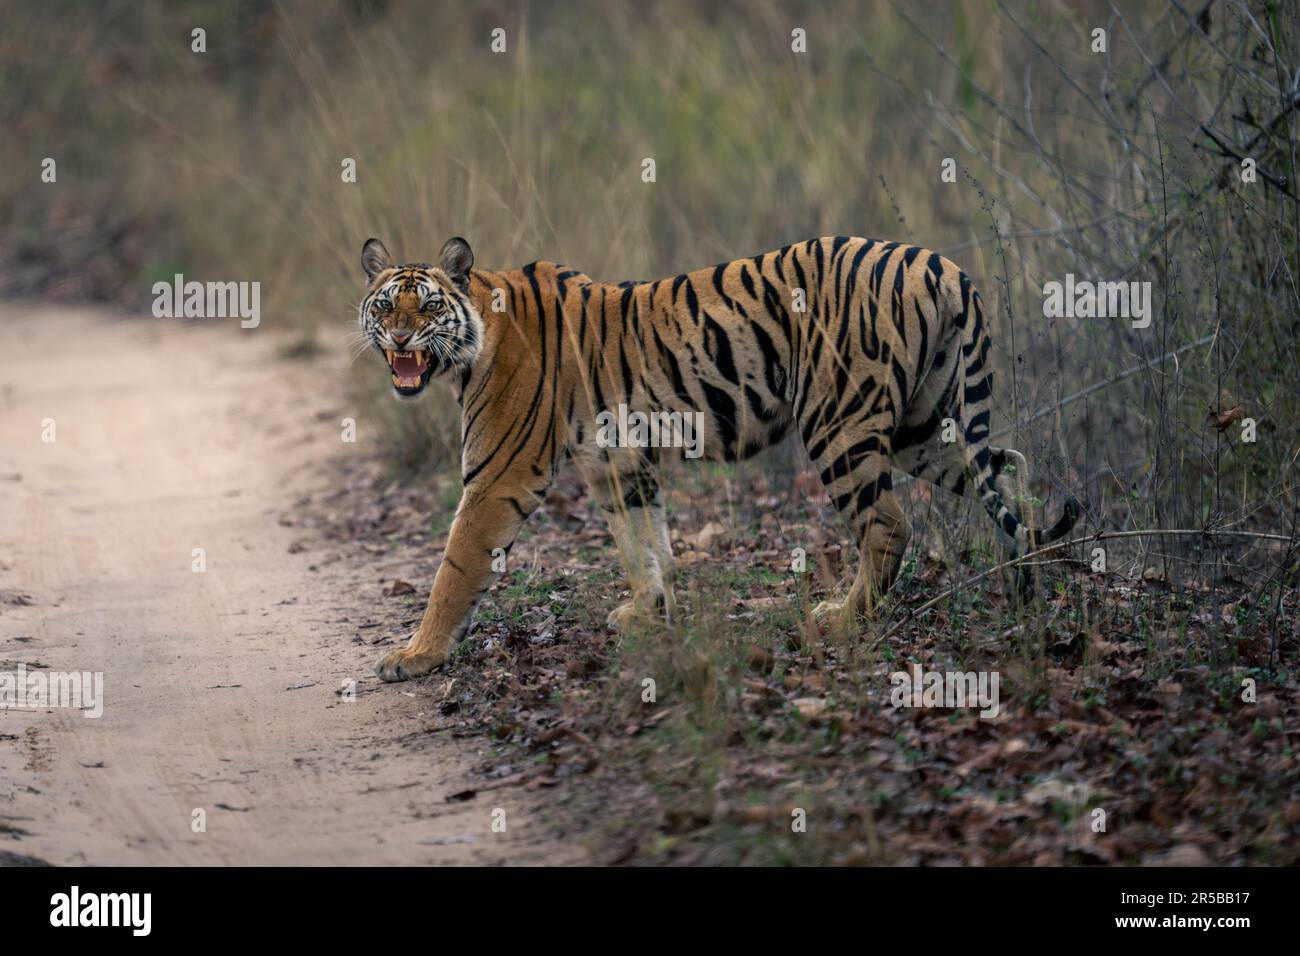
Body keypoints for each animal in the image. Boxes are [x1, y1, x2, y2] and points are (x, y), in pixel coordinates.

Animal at [357, 235, 1079, 682]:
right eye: (385, 304)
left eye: (427, 306)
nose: (399, 338)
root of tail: (938, 263)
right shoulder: (617, 465)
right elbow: (644, 544)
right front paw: (646, 612)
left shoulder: (498, 478)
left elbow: (454, 570)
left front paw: (413, 656)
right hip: (924, 428)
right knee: (1009, 480)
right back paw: (1029, 584)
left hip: (841, 422)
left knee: (889, 525)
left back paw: (843, 619)